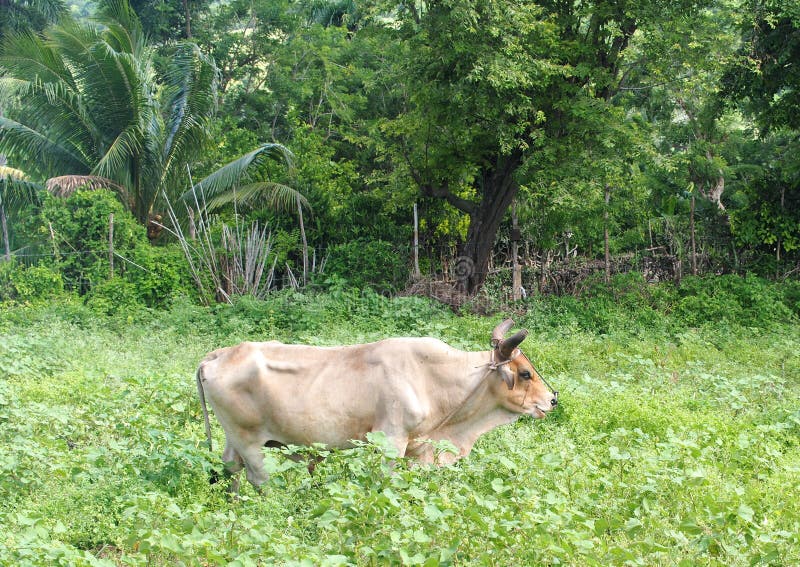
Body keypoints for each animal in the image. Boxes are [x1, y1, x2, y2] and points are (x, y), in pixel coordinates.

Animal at [196, 319, 558, 490]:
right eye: (525, 373)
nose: (552, 399)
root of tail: (219, 354)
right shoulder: (391, 441)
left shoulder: (416, 446)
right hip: (250, 442)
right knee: (259, 480)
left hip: (233, 440)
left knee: (231, 469)